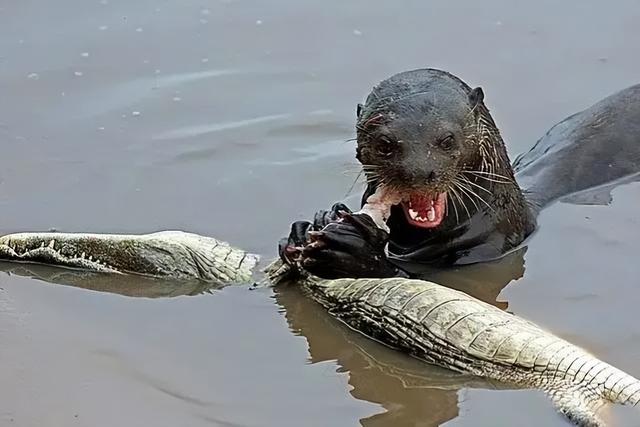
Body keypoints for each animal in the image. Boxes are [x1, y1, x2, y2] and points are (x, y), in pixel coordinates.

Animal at [279, 68, 640, 279]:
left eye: (447, 139)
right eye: (384, 143)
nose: (419, 171)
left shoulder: (488, 250)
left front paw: (352, 250)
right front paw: (310, 225)